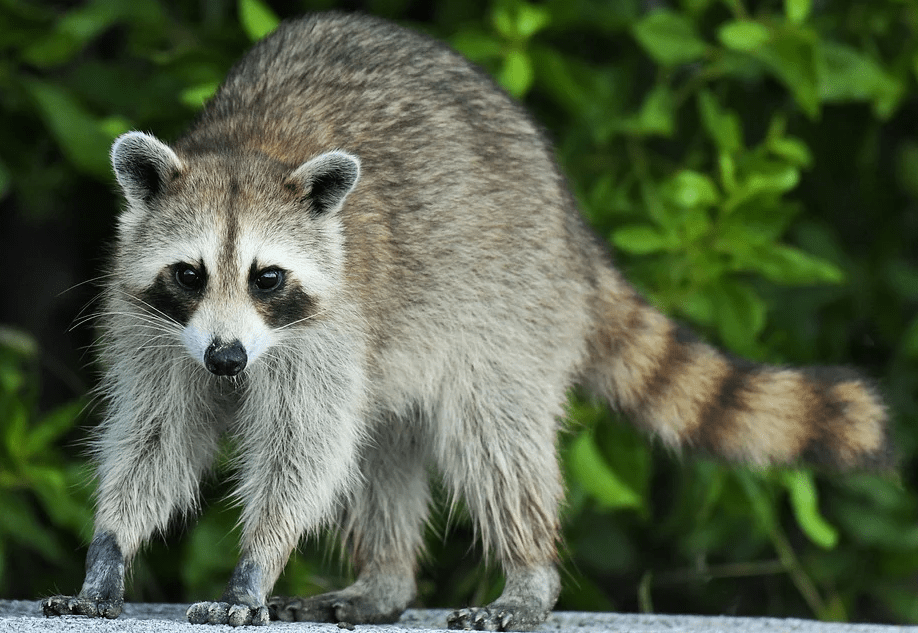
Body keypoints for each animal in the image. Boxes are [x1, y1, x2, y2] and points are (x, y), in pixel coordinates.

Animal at [42, 11, 890, 631]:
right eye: (190, 274)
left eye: (267, 278)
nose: (225, 361)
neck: (247, 146)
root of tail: (570, 227)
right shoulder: (150, 327)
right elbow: (157, 435)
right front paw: (109, 547)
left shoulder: (329, 328)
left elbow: (302, 450)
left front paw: (255, 563)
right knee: (383, 449)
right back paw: (384, 580)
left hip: (509, 305)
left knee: (495, 440)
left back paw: (528, 573)